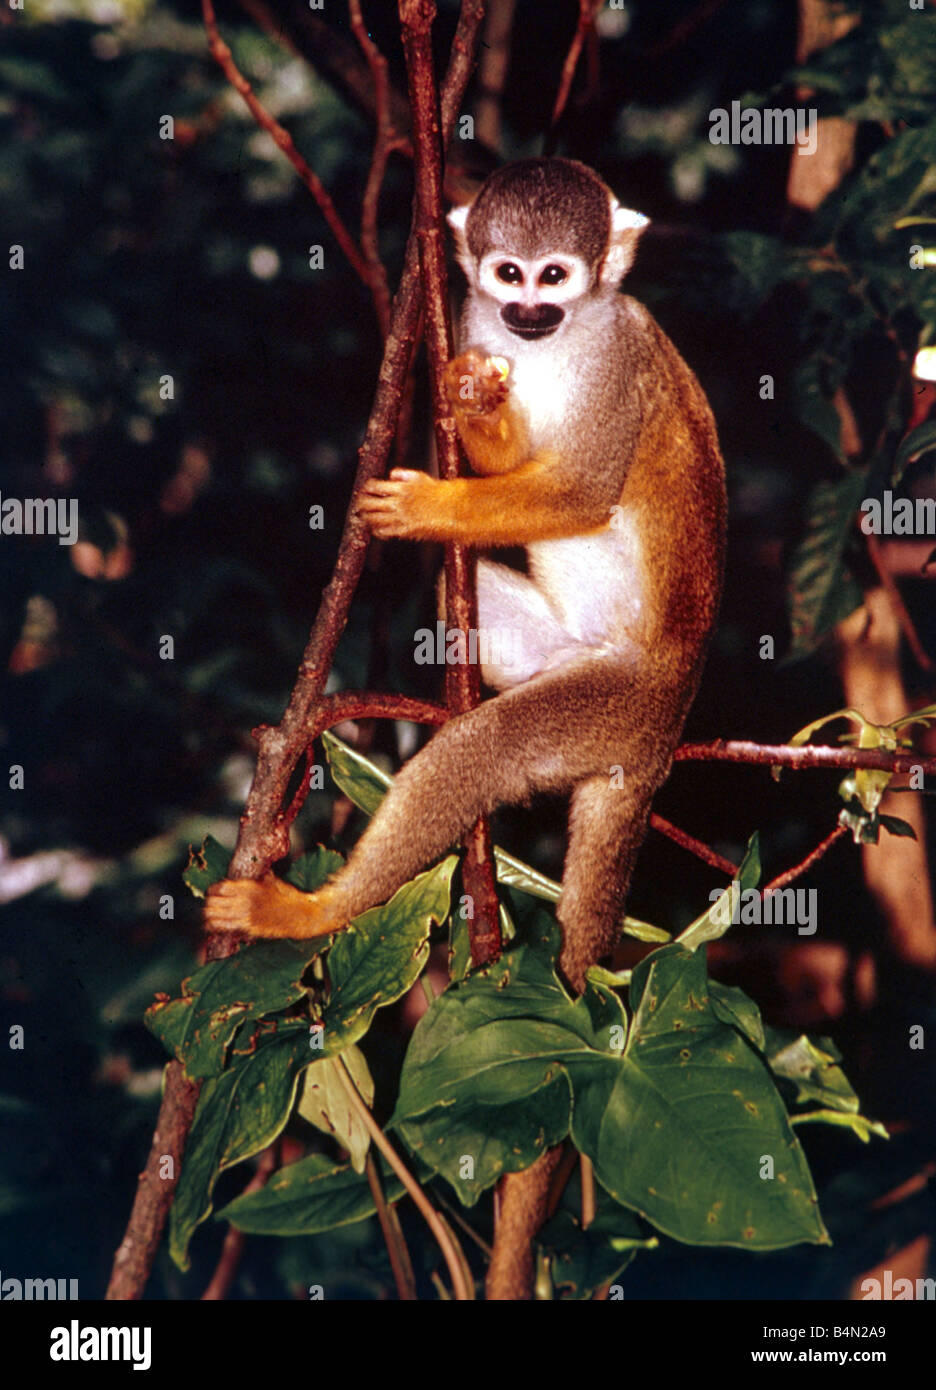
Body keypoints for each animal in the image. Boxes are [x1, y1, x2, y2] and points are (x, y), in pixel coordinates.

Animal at [205, 158, 726, 1298]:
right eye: (505, 275)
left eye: (558, 276)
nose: (528, 315)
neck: (561, 345)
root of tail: (663, 730)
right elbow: (511, 462)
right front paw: (474, 404)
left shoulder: (618, 363)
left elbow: (577, 488)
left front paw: (436, 506)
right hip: (553, 654)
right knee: (459, 607)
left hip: (604, 704)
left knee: (489, 749)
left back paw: (314, 910)